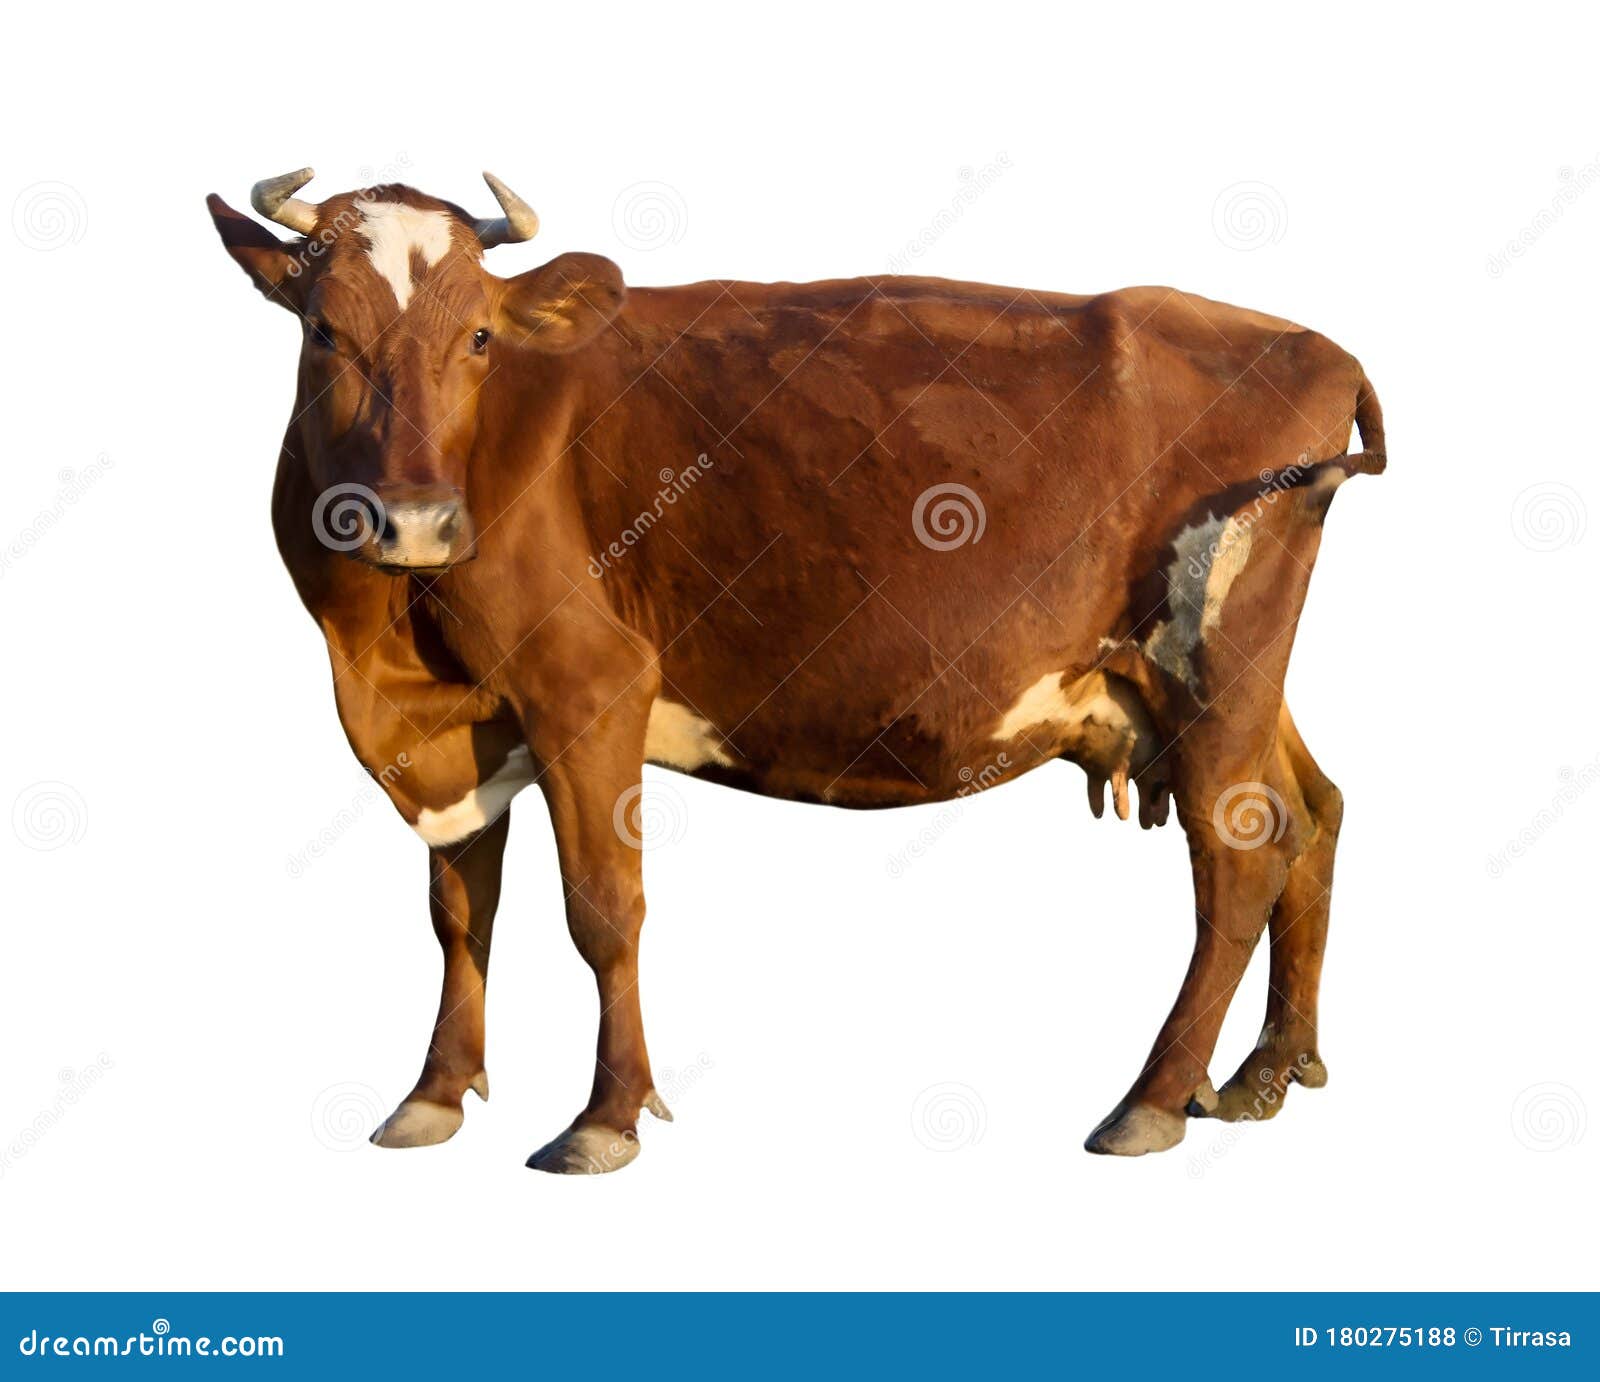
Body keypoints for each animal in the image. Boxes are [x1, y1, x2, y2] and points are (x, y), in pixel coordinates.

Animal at [208, 168, 1385, 1172]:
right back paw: (1267, 1070)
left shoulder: (588, 685)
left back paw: (1152, 1098)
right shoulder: (458, 725)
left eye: (480, 335)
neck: (383, 647)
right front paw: (435, 1093)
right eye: (323, 328)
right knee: (1314, 810)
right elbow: (461, 908)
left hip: (1216, 667)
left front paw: (604, 1116)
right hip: (1218, 686)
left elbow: (603, 908)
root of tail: (1309, 343)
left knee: (1241, 855)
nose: (410, 521)